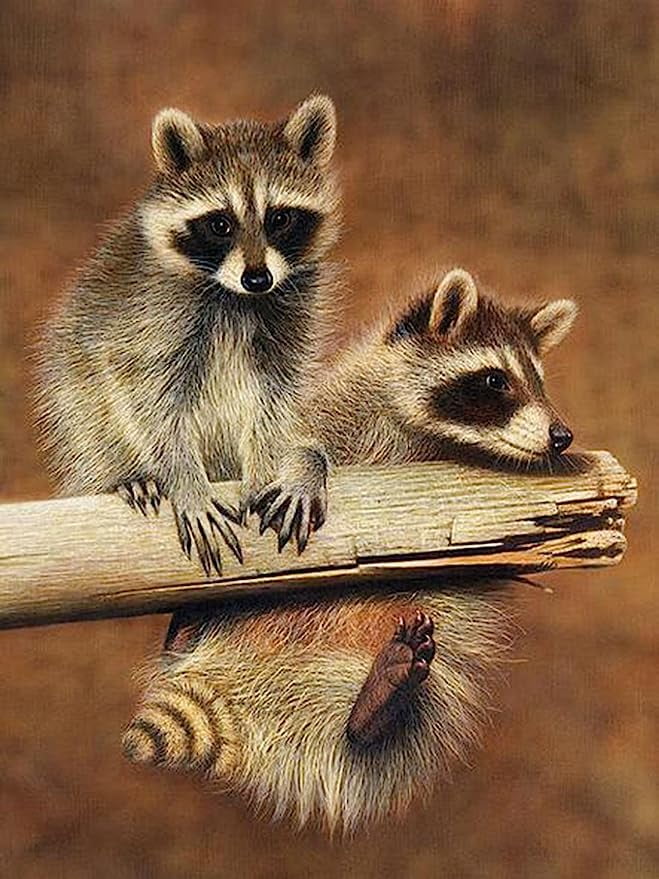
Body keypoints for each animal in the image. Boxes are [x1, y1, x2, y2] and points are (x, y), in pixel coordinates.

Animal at [35, 95, 340, 573]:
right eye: (220, 224)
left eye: (279, 218)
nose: (258, 279)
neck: (235, 297)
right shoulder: (148, 315)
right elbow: (146, 395)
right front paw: (186, 481)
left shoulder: (291, 310)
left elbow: (277, 395)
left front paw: (268, 466)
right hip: (80, 414)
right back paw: (127, 475)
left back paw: (305, 464)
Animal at [123, 268, 577, 831]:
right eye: (496, 381)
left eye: (539, 381)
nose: (562, 435)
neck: (427, 436)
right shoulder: (335, 405)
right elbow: (293, 443)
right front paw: (307, 467)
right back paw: (189, 624)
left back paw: (375, 709)